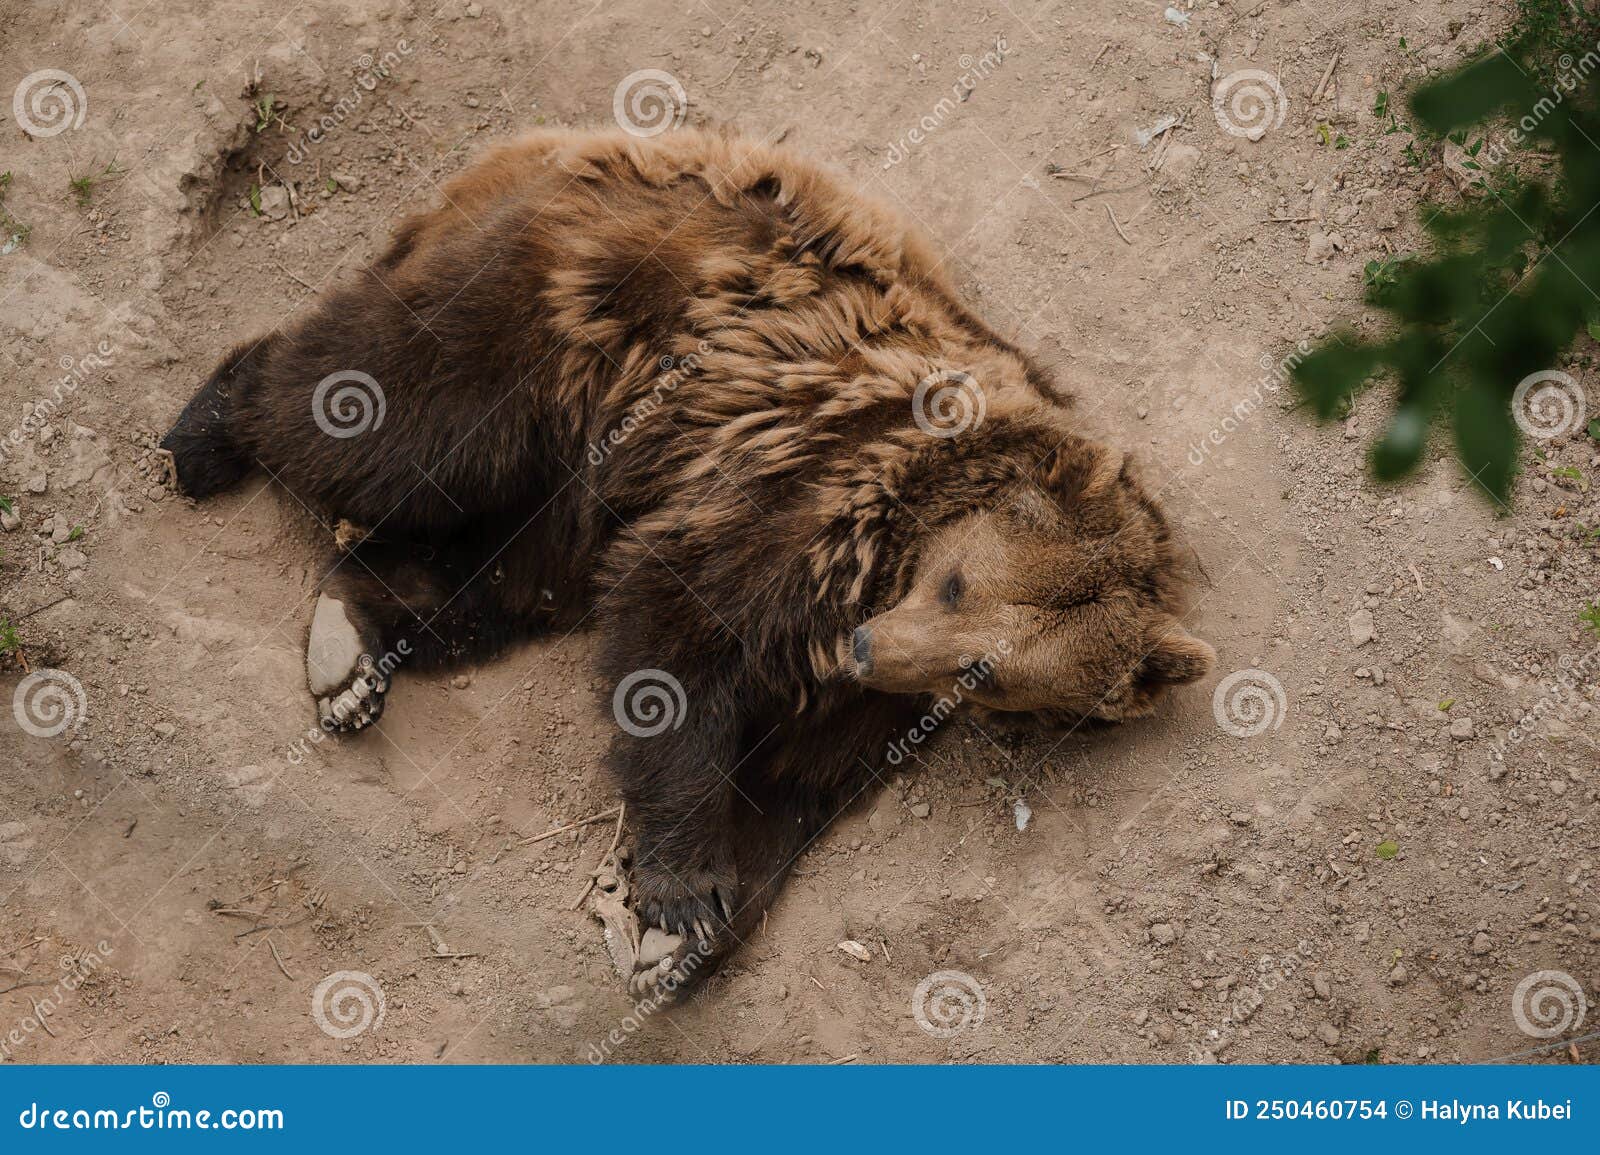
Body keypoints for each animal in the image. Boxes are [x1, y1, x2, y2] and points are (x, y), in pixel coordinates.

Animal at [161, 128, 1214, 999]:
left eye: (984, 671)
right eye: (959, 584)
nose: (868, 650)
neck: (902, 540)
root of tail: (538, 149)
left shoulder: (871, 696)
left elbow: (794, 777)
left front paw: (677, 937)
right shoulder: (799, 490)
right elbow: (683, 630)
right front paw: (679, 891)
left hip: (571, 475)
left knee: (501, 571)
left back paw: (350, 648)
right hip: (560, 320)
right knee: (395, 416)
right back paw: (209, 432)